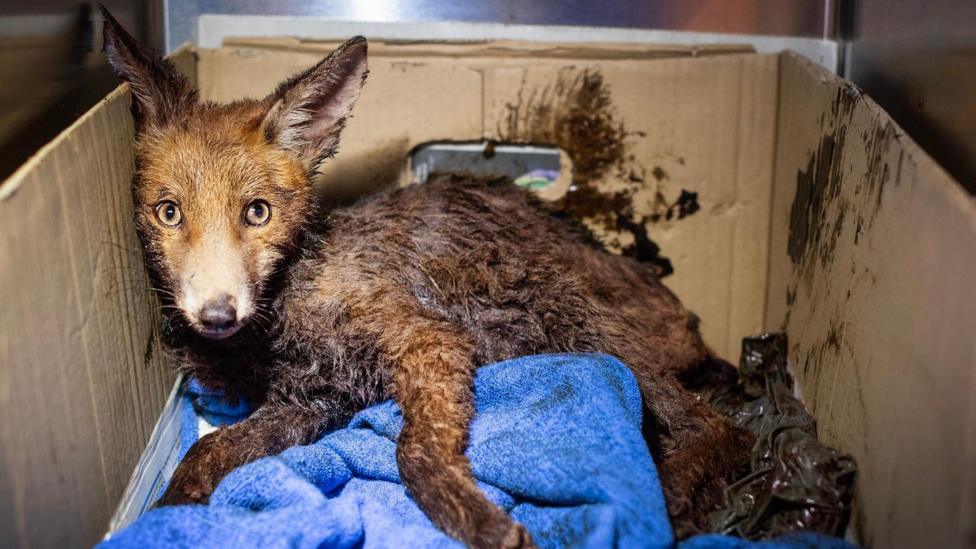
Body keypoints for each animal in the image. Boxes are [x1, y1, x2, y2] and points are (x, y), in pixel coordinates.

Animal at [101, 7, 752, 548]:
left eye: (256, 212)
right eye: (169, 213)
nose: (216, 314)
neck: (283, 315)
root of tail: (692, 327)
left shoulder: (428, 341)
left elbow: (413, 453)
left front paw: (474, 517)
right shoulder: (312, 402)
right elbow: (207, 452)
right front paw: (166, 515)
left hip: (565, 310)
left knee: (721, 427)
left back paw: (668, 504)